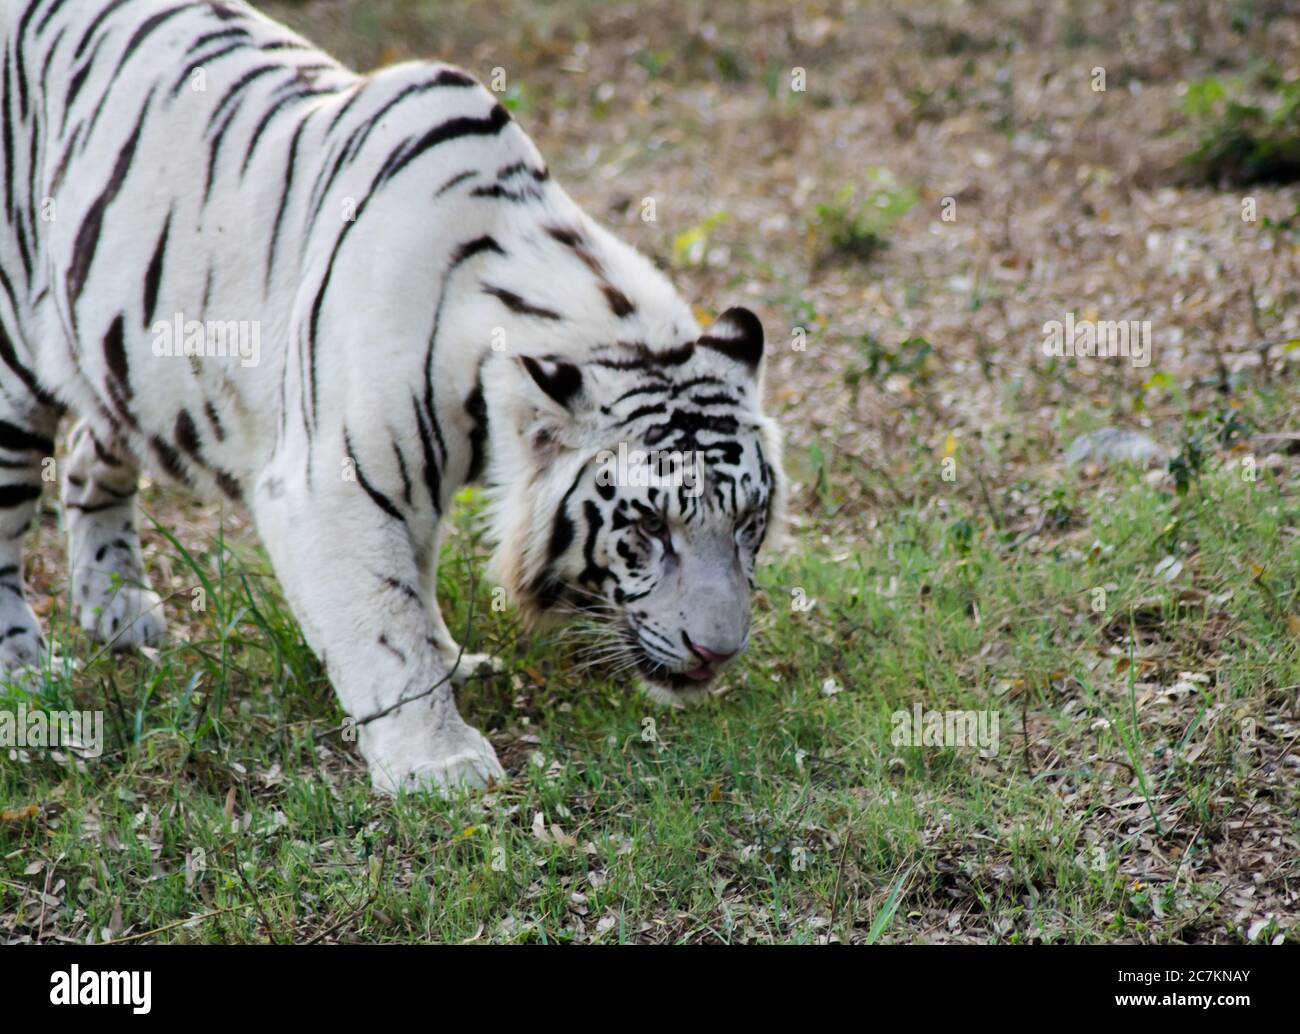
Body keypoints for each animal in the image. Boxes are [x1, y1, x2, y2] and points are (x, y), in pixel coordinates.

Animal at [0, 0, 784, 794]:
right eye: (650, 527)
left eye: (750, 520)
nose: (719, 651)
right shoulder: (334, 480)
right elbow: (385, 619)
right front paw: (438, 759)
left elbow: (414, 578)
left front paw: (450, 661)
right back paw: (27, 669)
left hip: (121, 361)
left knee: (89, 455)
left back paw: (119, 609)